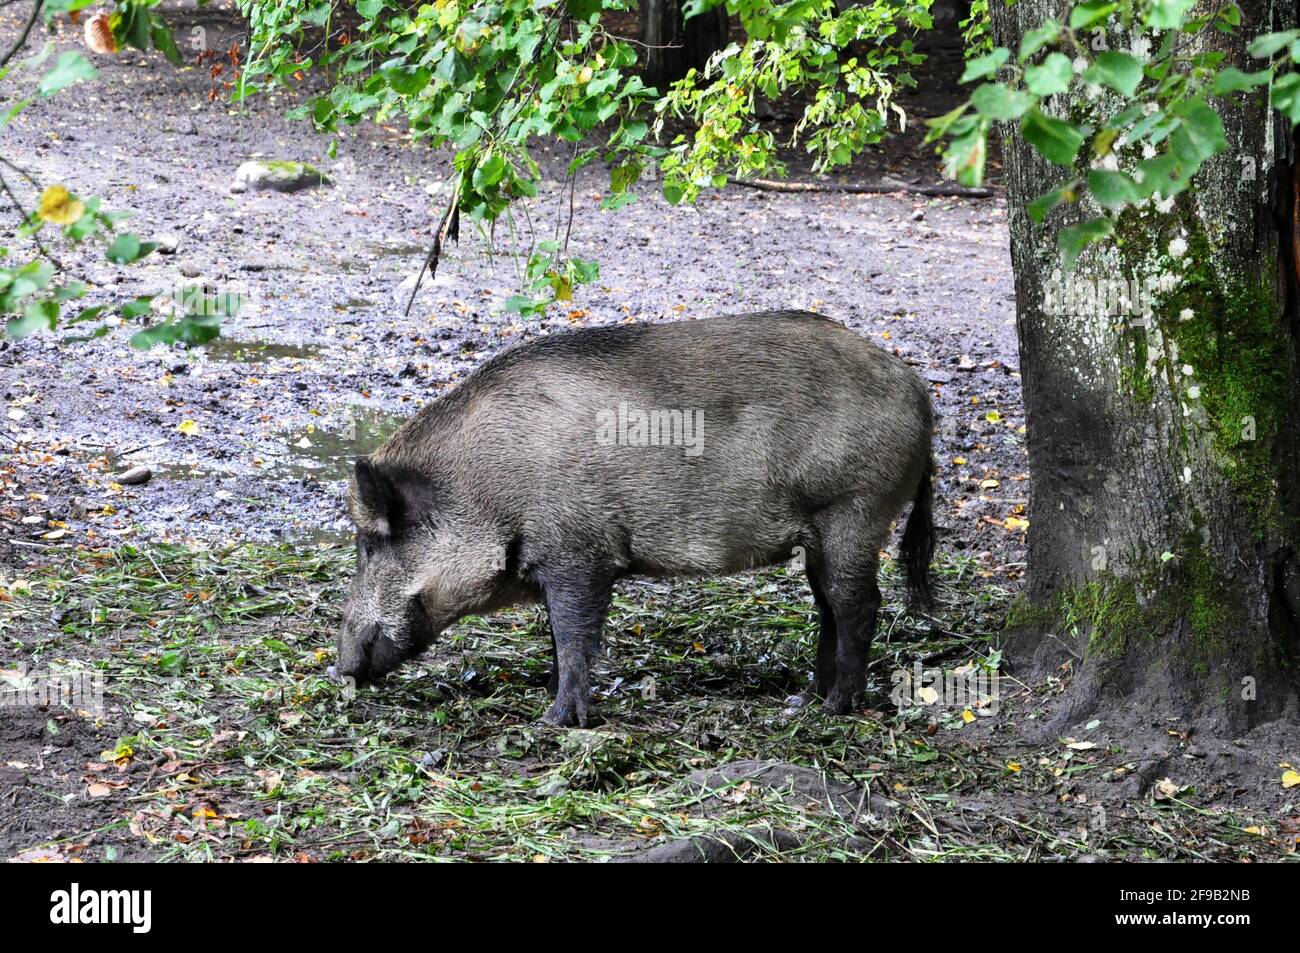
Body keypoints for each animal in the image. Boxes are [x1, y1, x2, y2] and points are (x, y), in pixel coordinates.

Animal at [336, 310, 934, 726]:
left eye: (368, 544)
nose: (340, 668)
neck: (488, 485)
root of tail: (919, 393)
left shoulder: (580, 553)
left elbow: (573, 635)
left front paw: (554, 721)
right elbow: (557, 636)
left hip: (855, 510)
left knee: (859, 604)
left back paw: (834, 708)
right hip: (825, 532)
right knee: (827, 603)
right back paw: (800, 699)